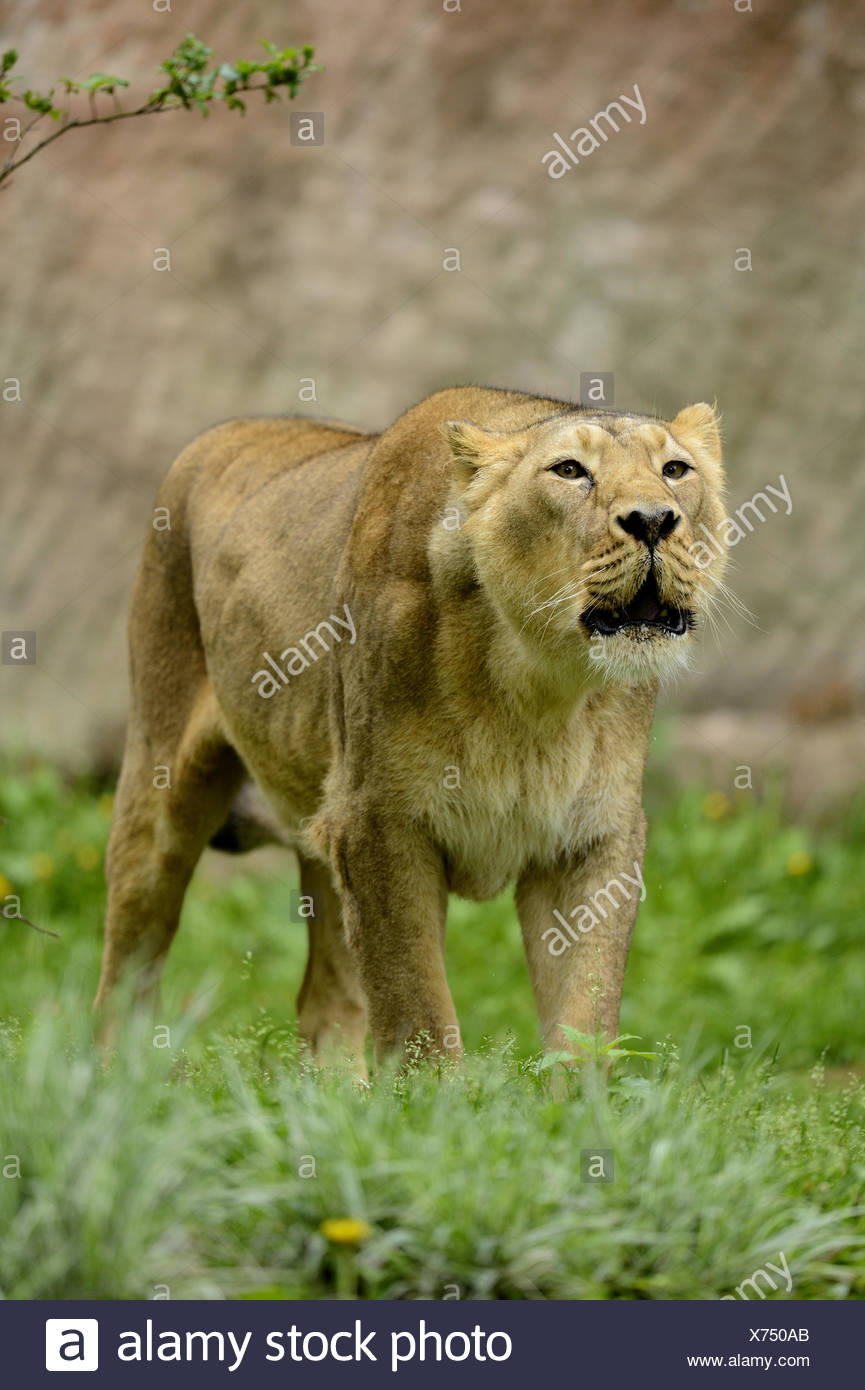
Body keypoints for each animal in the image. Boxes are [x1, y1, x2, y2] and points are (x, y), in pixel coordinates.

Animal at [94, 386, 727, 1071]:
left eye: (675, 470)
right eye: (569, 471)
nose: (654, 521)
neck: (535, 686)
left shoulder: (592, 836)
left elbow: (585, 1017)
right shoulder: (377, 824)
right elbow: (417, 1012)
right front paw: (434, 1101)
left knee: (325, 999)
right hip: (163, 784)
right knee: (126, 967)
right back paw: (119, 1079)